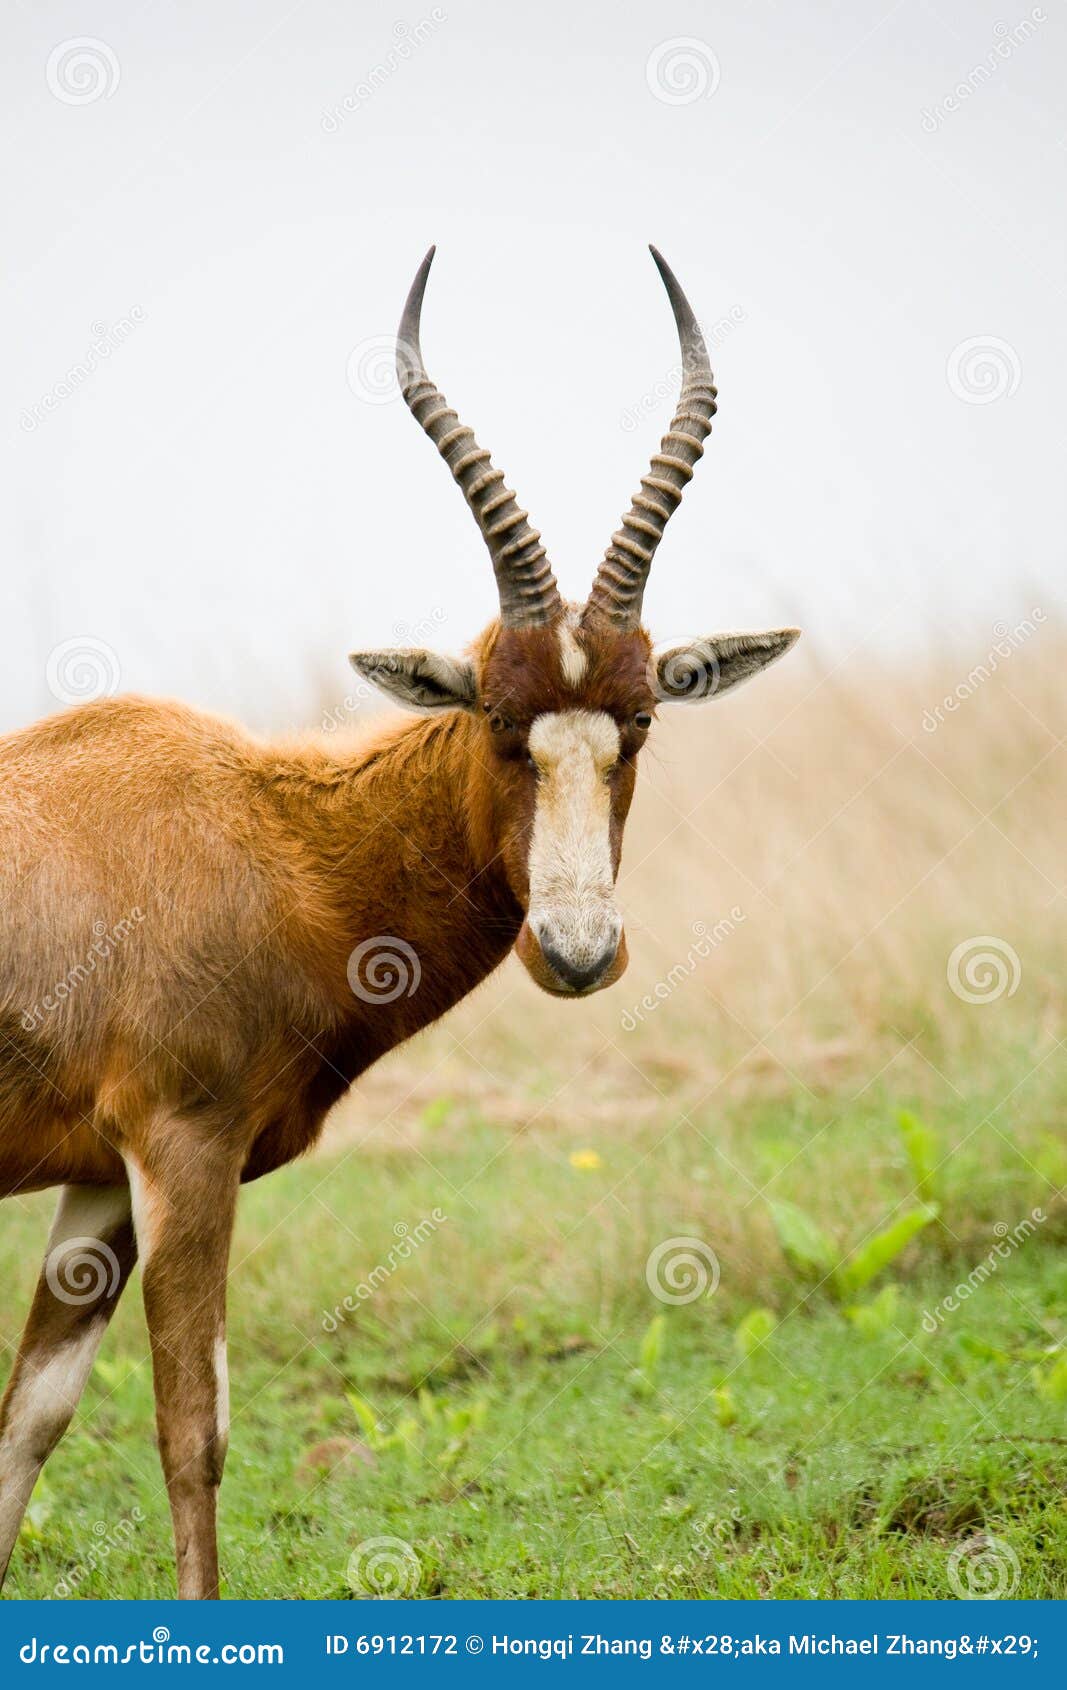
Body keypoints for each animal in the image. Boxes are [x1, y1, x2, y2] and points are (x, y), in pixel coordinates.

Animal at [0, 247, 798, 1599]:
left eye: (637, 720)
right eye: (497, 717)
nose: (577, 951)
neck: (259, 827)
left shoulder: (98, 1181)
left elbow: (27, 1426)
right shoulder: (182, 1151)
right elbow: (192, 1431)